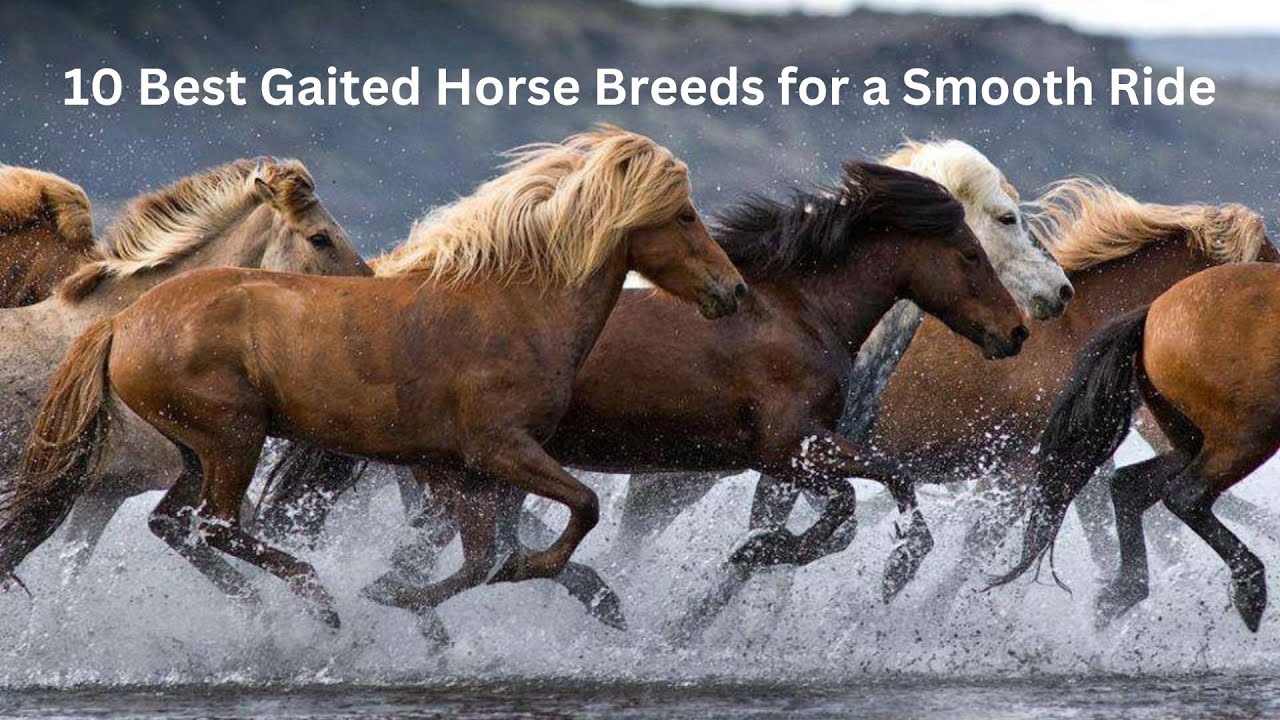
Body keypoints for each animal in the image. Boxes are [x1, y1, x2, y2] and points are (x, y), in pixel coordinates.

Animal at [994, 262, 1280, 632]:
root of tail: (1152, 314)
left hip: (1194, 440)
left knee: (1129, 485)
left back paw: (1122, 592)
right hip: (1247, 436)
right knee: (1184, 496)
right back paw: (1250, 589)